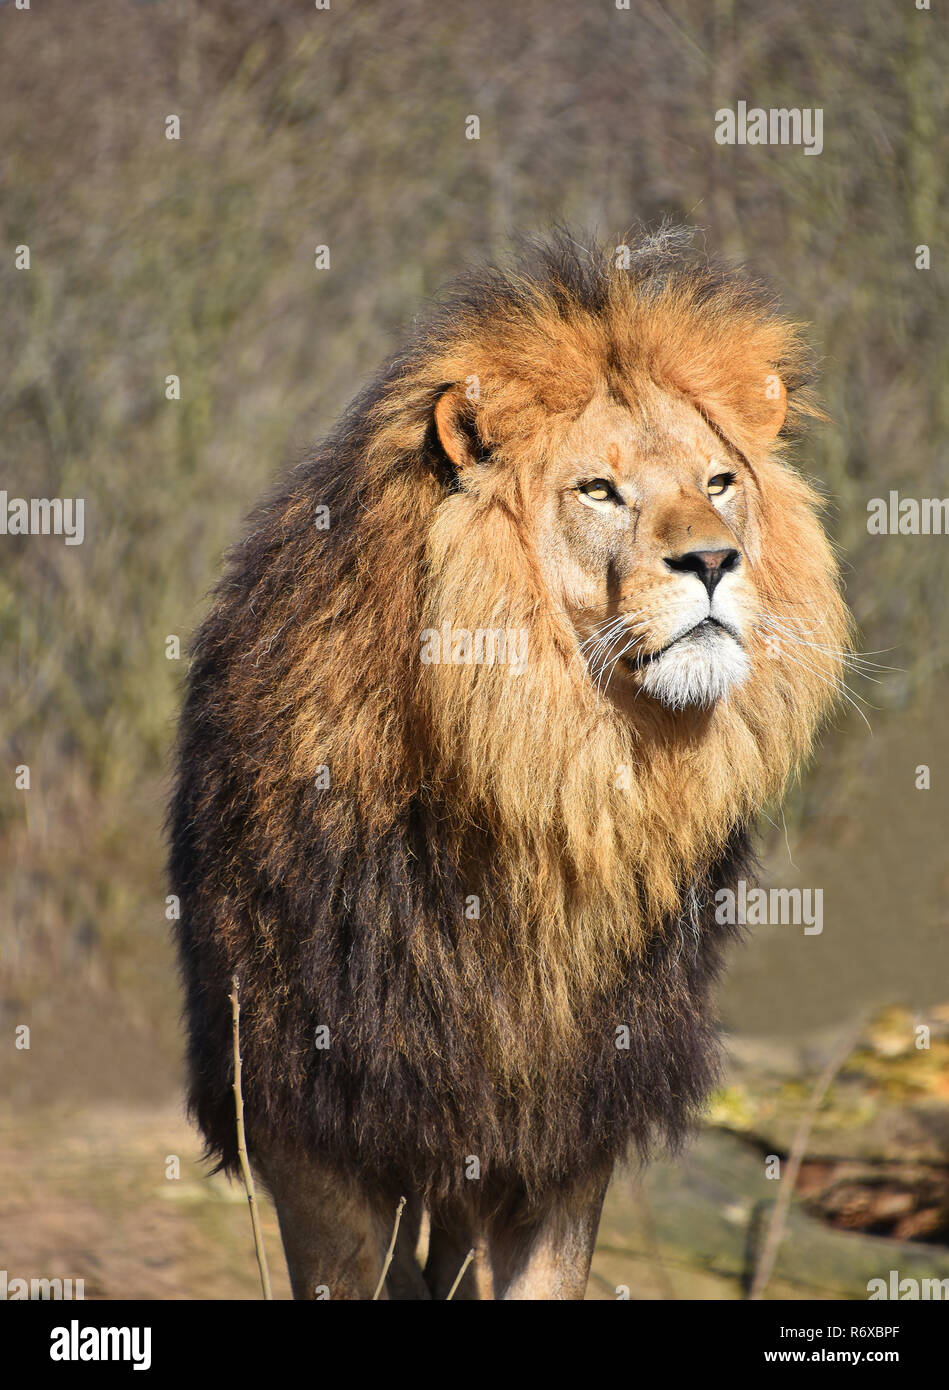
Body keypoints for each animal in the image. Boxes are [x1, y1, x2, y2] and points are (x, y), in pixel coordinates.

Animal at [169, 228, 851, 1300]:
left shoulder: (567, 1124)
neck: (553, 773)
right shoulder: (308, 1118)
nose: (712, 561)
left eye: (719, 482)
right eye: (598, 490)